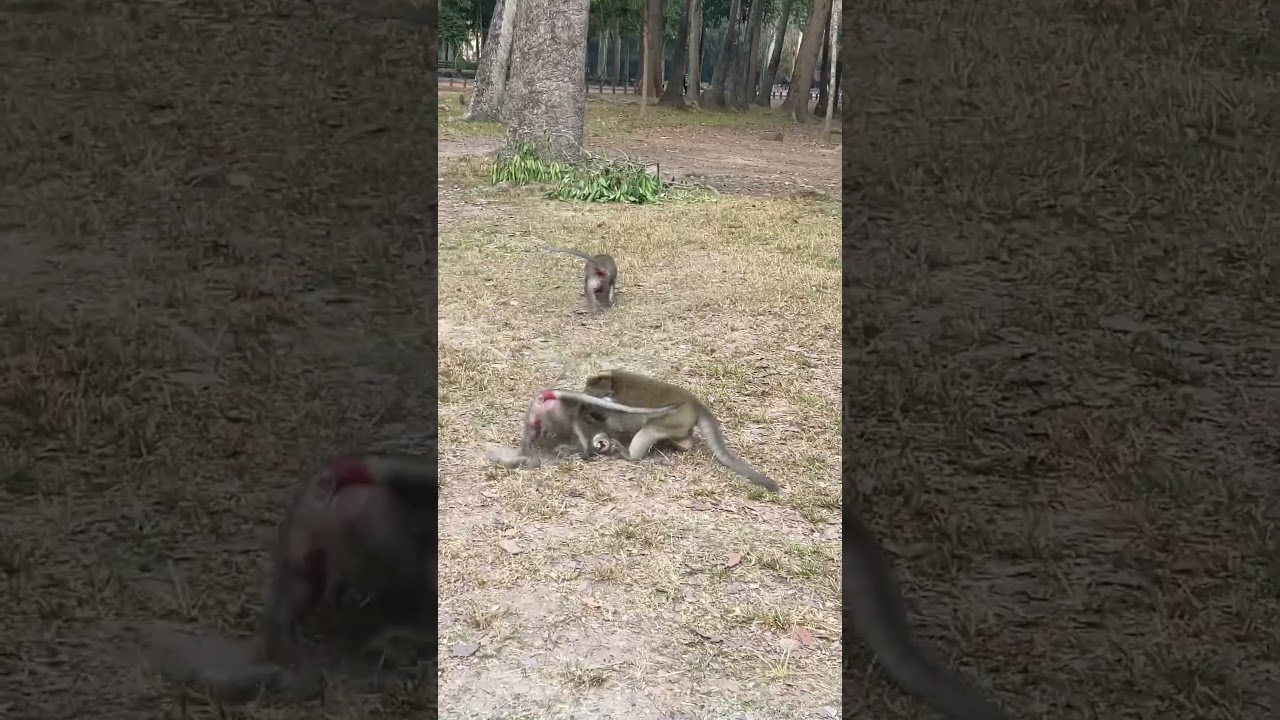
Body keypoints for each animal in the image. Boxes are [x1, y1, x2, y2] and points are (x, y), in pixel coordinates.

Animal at [582, 370, 780, 493]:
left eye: (588, 391)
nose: (582, 393)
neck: (614, 387)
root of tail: (696, 405)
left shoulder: (622, 403)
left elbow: (625, 423)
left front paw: (594, 416)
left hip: (676, 416)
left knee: (651, 427)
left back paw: (630, 455)